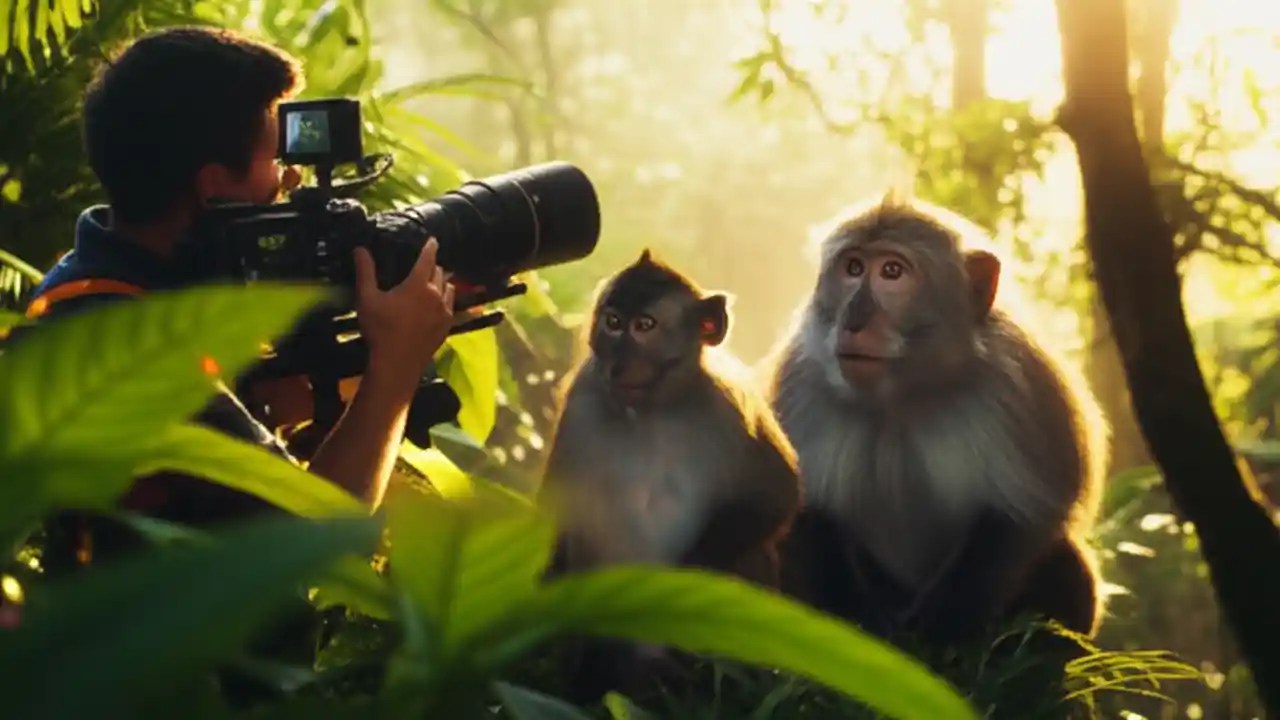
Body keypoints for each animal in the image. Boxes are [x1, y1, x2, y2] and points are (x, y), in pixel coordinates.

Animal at [537, 249, 802, 701]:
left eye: (645, 326)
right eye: (612, 322)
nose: (617, 365)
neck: (652, 410)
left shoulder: (728, 406)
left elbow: (775, 495)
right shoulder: (582, 401)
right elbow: (560, 519)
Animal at [764, 193, 1109, 650]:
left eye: (892, 272)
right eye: (853, 268)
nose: (854, 320)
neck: (903, 397)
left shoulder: (1023, 384)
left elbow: (1022, 518)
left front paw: (942, 634)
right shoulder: (798, 384)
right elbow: (807, 515)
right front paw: (859, 632)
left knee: (1064, 565)